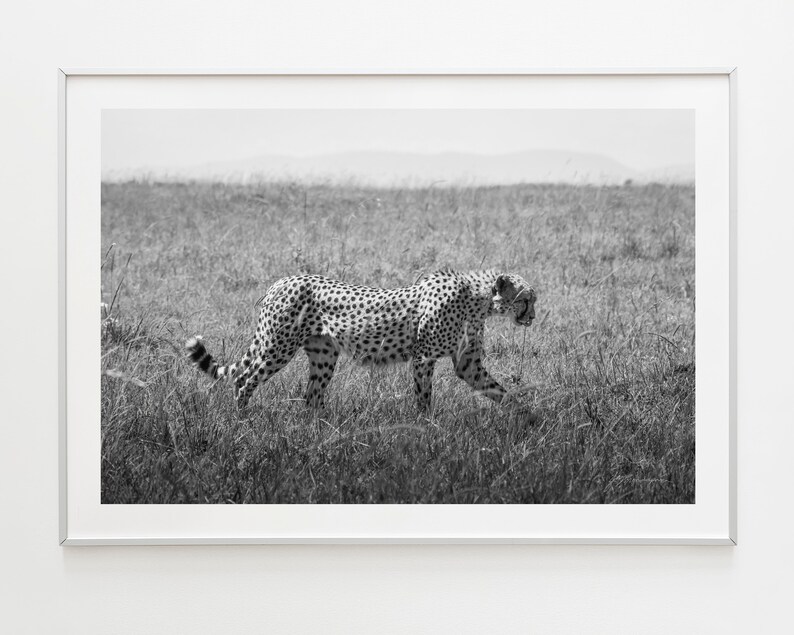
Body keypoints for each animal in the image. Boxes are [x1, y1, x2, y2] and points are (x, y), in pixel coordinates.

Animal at [186, 269, 536, 411]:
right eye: (526, 300)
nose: (532, 317)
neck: (478, 300)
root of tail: (281, 280)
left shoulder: (467, 363)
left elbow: (500, 391)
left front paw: (527, 417)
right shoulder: (423, 357)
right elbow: (424, 398)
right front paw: (426, 427)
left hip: (323, 355)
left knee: (311, 396)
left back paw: (318, 432)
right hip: (277, 347)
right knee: (244, 379)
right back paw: (242, 419)